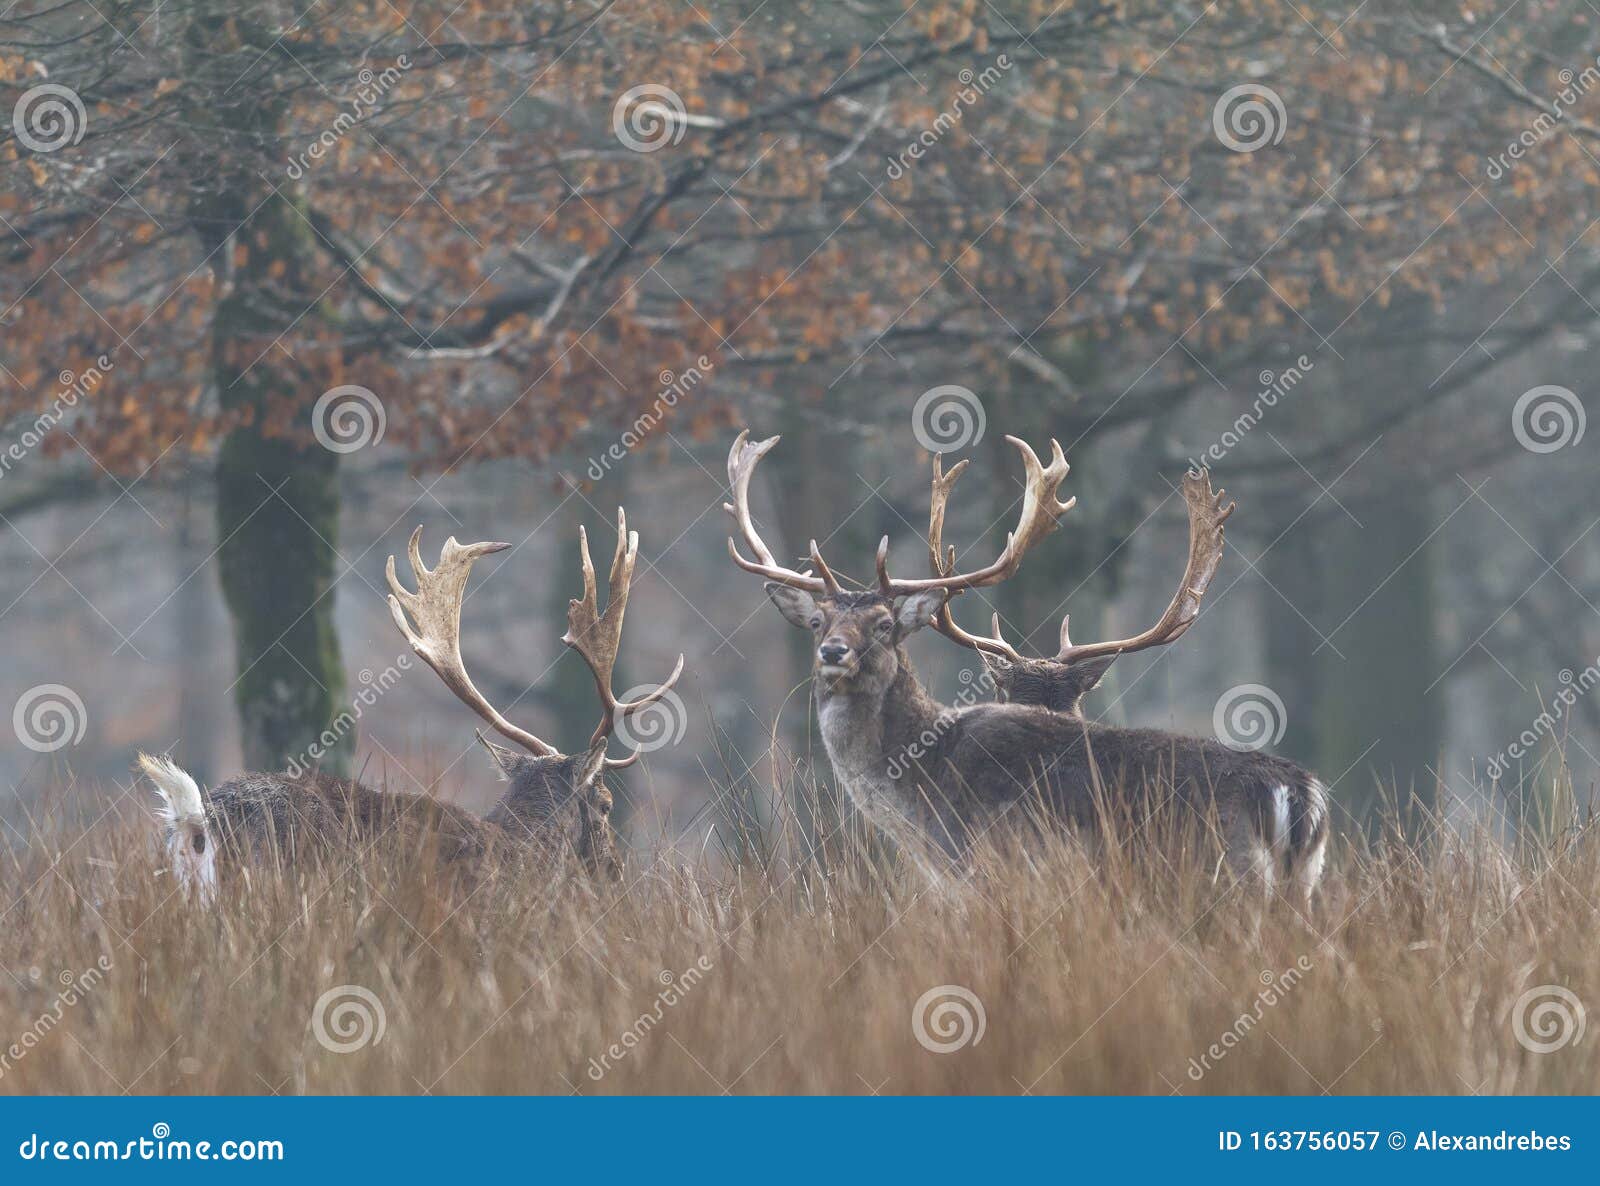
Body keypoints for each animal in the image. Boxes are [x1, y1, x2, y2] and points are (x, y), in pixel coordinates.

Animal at [727, 429, 1328, 900]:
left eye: (884, 624)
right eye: (816, 621)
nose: (833, 652)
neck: (919, 790)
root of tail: (1300, 796)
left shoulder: (991, 871)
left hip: (1224, 874)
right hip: (1300, 885)